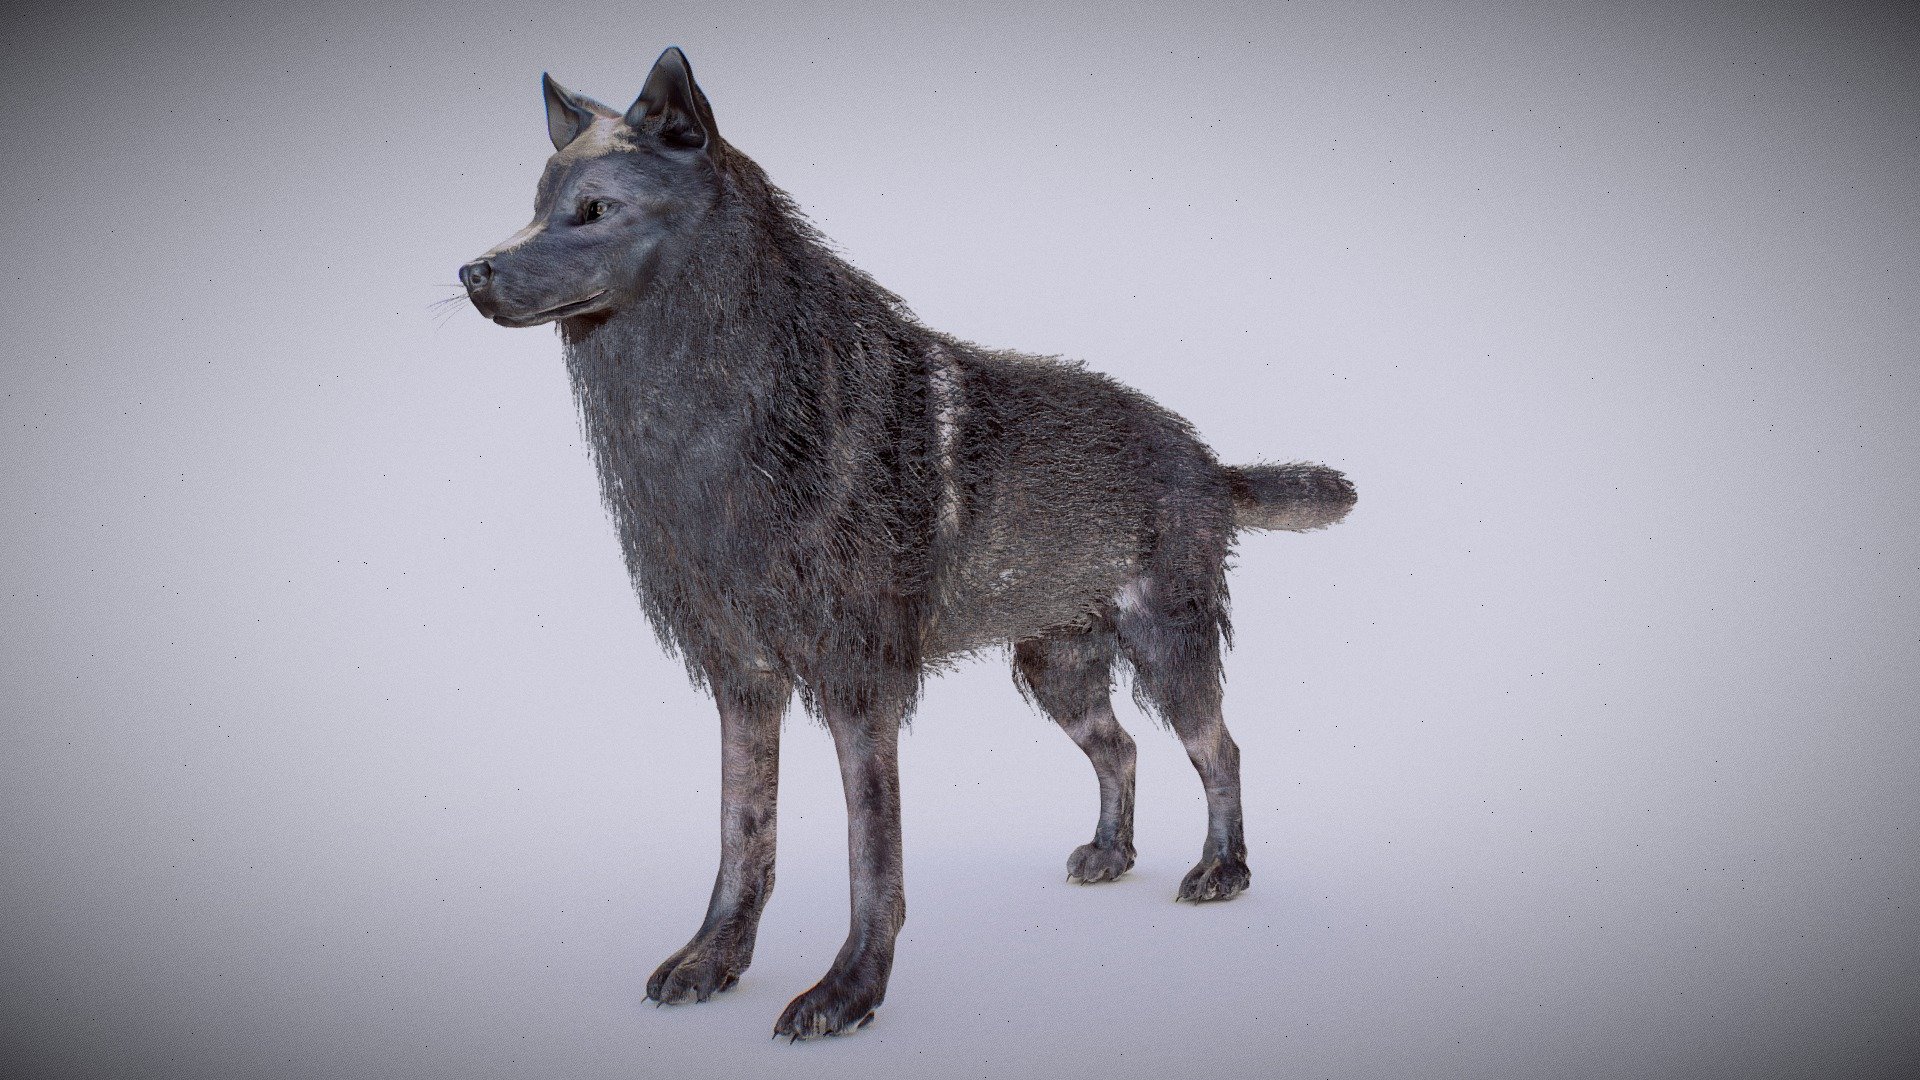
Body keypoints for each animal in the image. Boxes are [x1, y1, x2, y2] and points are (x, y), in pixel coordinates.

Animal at [460, 47, 1355, 1040]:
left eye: (595, 210)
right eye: (538, 203)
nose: (471, 273)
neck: (729, 408)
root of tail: (1208, 459)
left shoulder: (859, 686)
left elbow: (870, 851)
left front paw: (849, 991)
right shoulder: (744, 682)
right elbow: (744, 835)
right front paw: (714, 960)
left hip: (1168, 649)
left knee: (1219, 748)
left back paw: (1223, 871)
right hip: (1058, 669)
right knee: (1121, 749)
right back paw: (1110, 853)